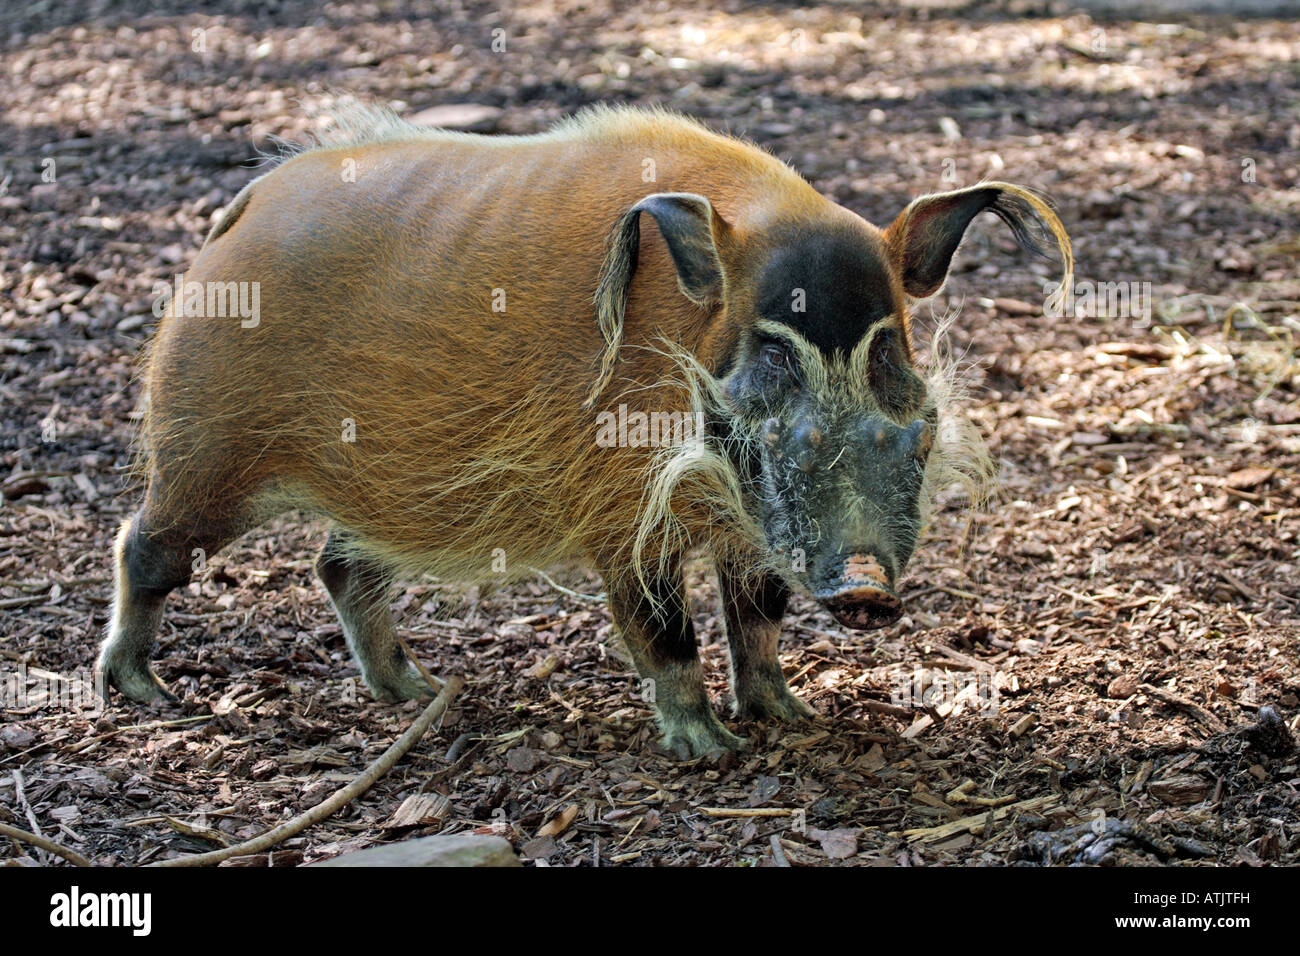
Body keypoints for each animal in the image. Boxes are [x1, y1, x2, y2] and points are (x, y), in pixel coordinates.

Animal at [97, 104, 1071, 757]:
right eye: (772, 351)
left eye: (890, 350)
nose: (867, 586)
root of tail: (248, 202)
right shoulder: (623, 514)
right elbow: (666, 630)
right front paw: (711, 749)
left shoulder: (750, 524)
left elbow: (758, 617)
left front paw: (791, 717)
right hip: (207, 447)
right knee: (146, 546)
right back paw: (142, 690)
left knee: (338, 566)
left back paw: (417, 691)